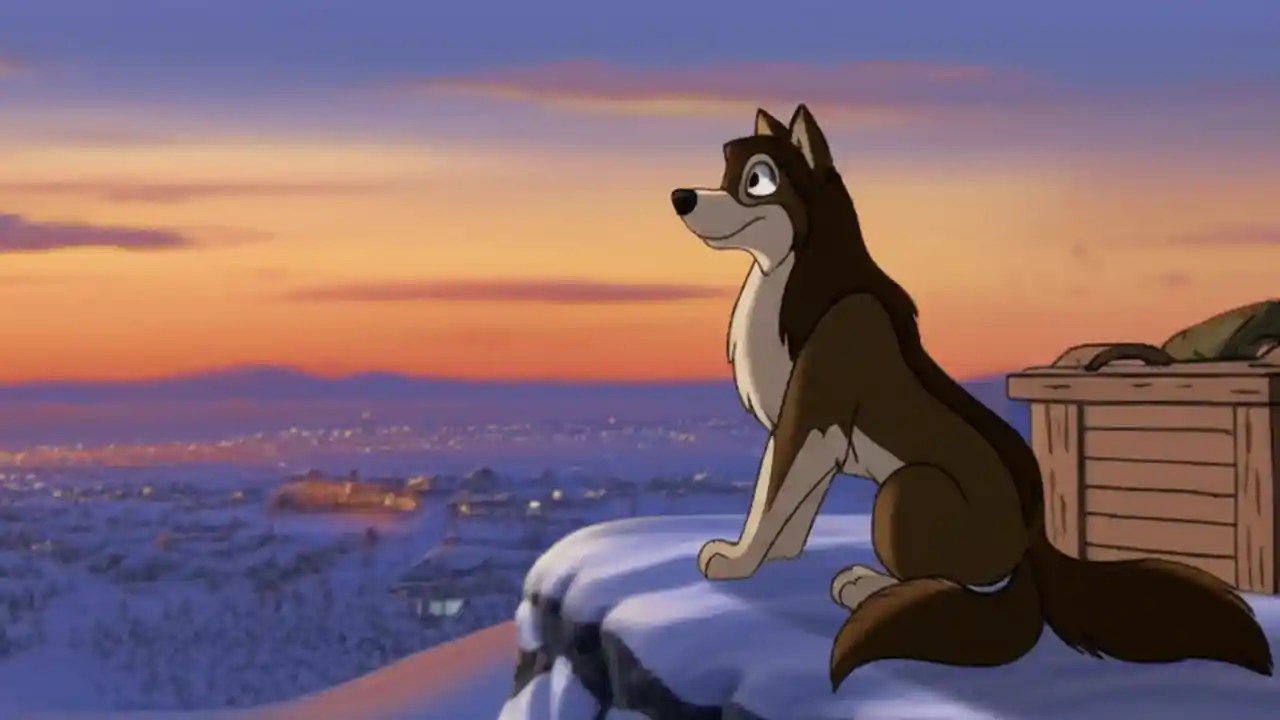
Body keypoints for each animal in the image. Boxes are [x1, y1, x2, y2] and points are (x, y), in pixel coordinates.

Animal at [669, 104, 1273, 690]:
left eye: (757, 180)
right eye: (725, 172)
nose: (681, 198)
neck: (797, 279)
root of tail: (1033, 537)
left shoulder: (812, 411)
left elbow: (770, 496)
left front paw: (737, 562)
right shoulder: (809, 430)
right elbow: (788, 499)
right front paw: (778, 556)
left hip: (904, 491)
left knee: (948, 578)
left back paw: (866, 584)